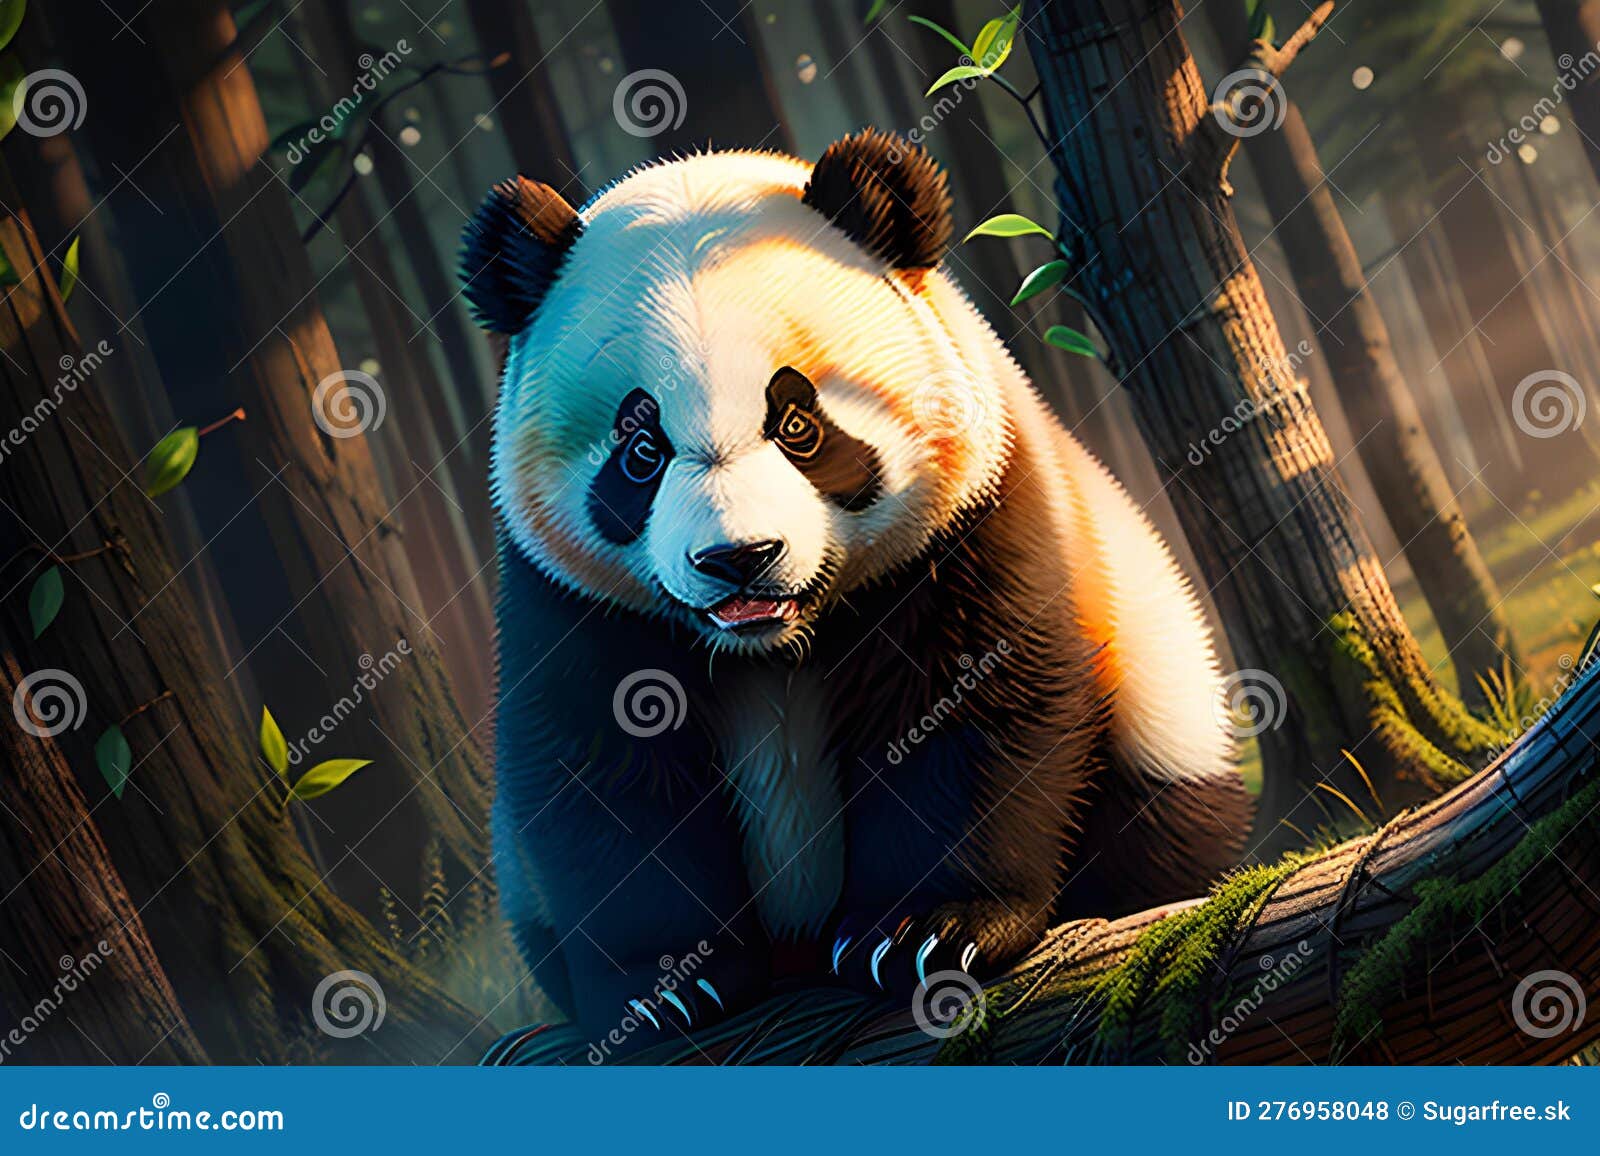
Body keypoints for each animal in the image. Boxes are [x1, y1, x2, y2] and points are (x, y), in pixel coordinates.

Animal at [461, 129, 1251, 1052]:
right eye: (641, 449)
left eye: (798, 425)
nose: (741, 558)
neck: (773, 643)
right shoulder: (567, 597)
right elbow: (599, 765)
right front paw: (661, 986)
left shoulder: (976, 517)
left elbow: (970, 707)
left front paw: (922, 930)